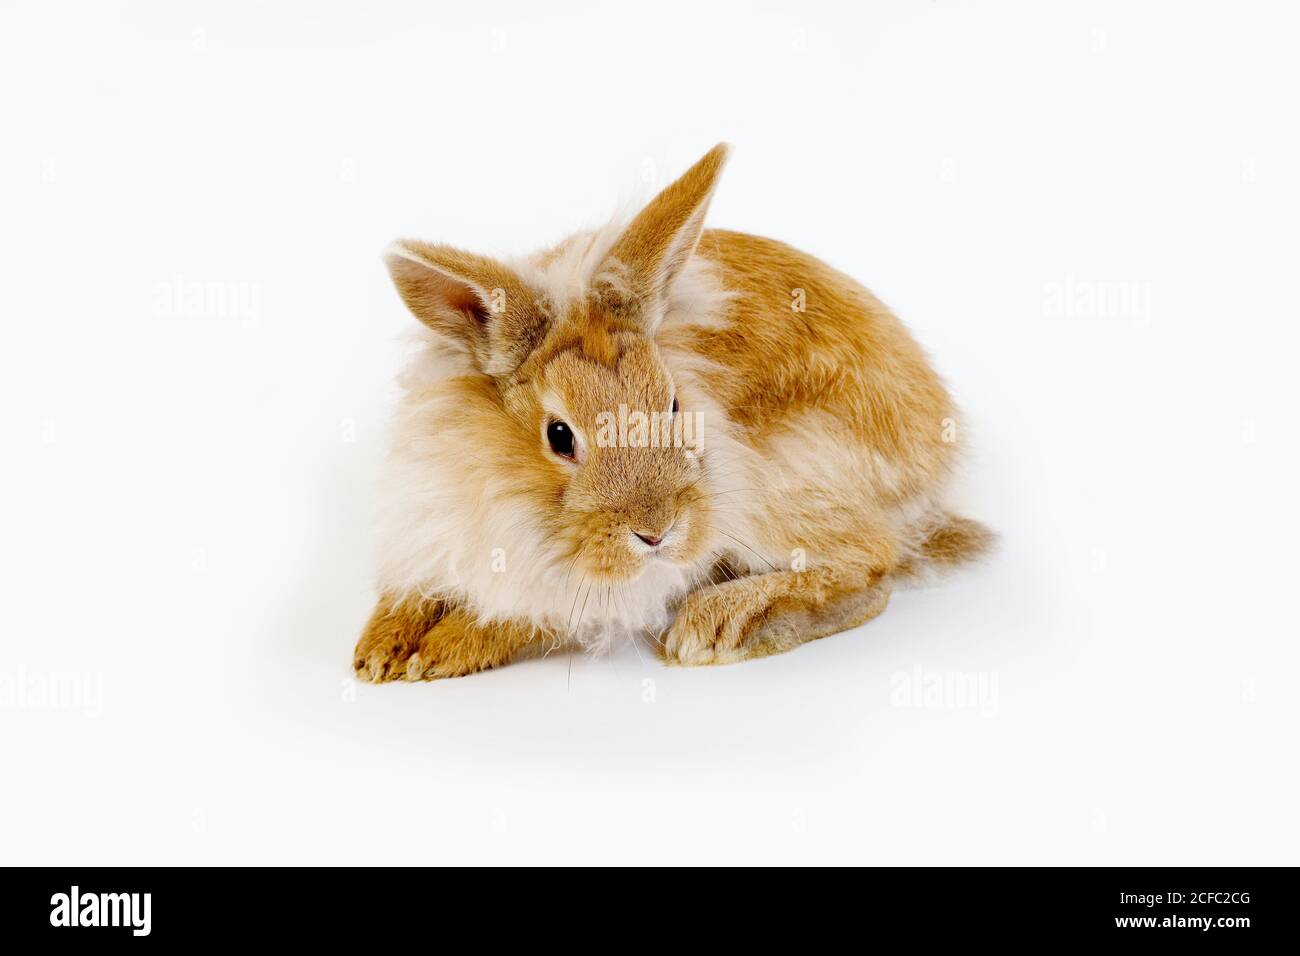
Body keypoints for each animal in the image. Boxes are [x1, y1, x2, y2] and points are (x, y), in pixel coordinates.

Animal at [353, 143, 992, 681]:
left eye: (675, 405)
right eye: (559, 436)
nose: (656, 533)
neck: (504, 495)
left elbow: (529, 616)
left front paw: (443, 649)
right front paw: (380, 650)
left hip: (782, 485)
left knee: (875, 561)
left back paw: (719, 623)